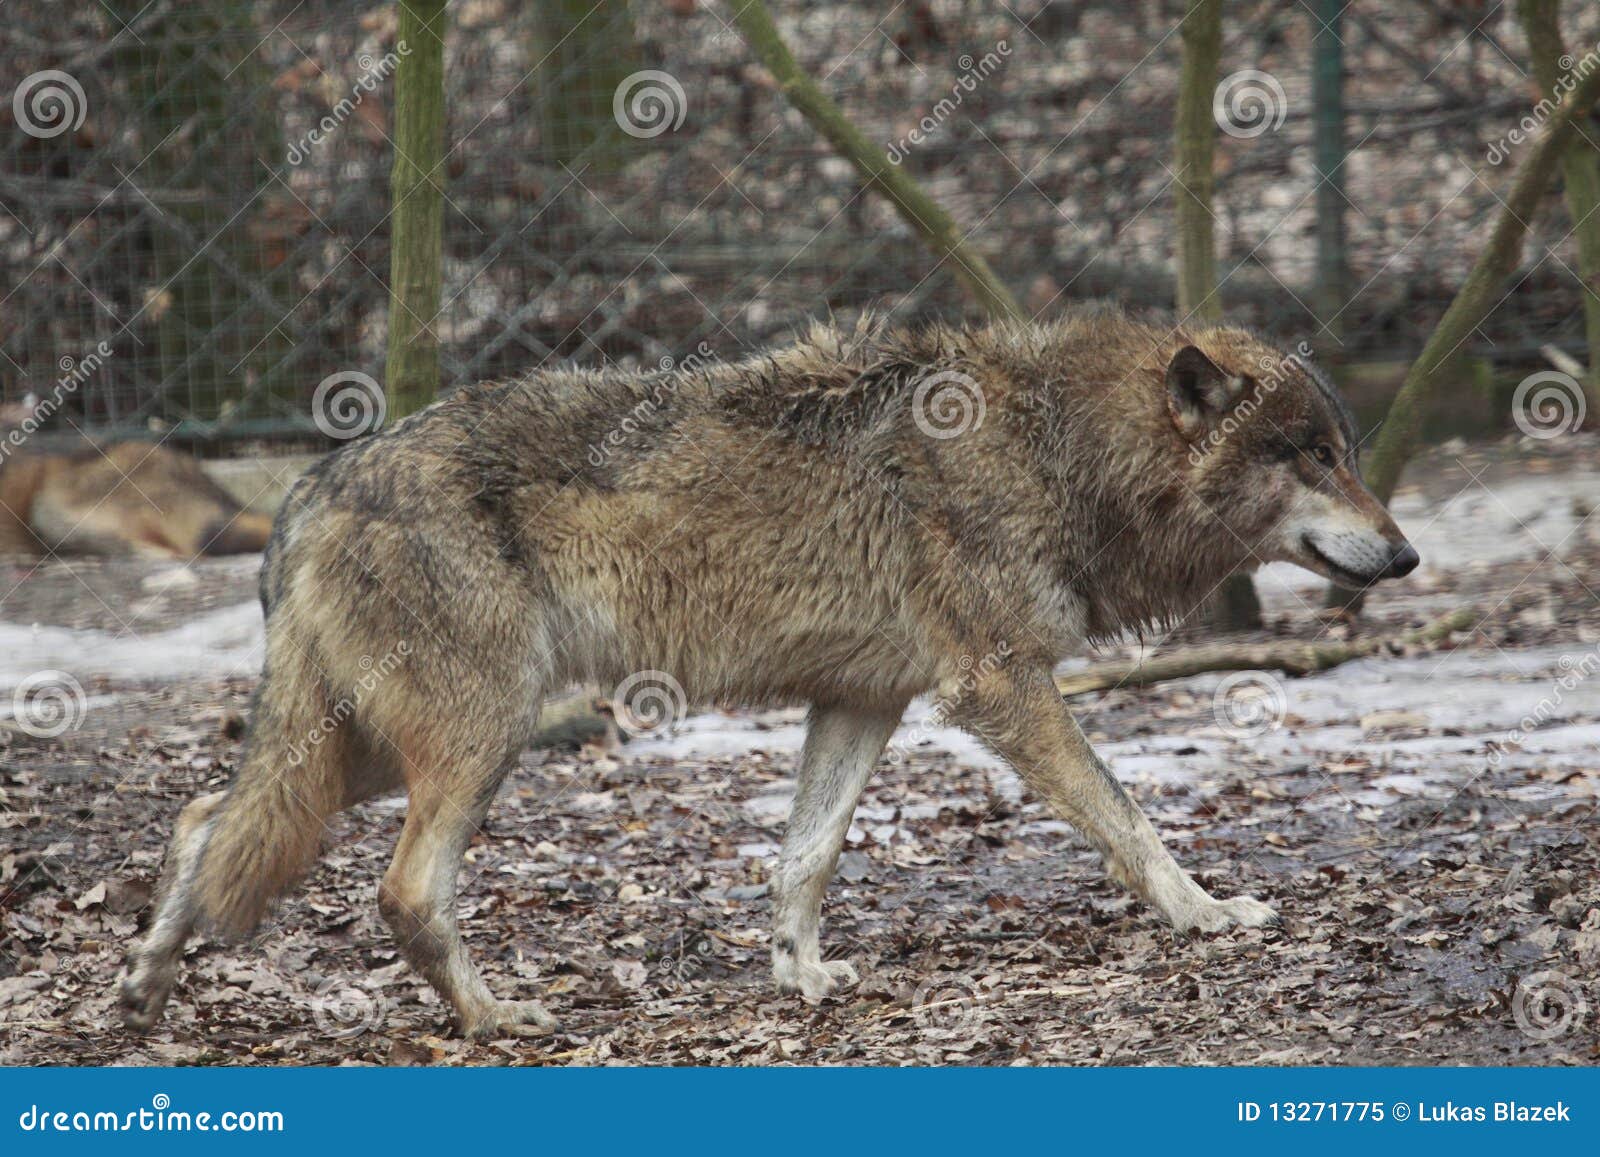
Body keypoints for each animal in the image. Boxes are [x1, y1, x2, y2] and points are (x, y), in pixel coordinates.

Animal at [120, 307, 1417, 1039]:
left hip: (378, 747)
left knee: (202, 818)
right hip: (478, 738)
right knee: (399, 889)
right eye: (1312, 456)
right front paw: (1206, 912)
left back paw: (143, 987)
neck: (1059, 447)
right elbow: (1129, 815)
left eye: (1346, 452)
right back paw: (495, 1018)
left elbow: (806, 854)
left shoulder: (864, 698)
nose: (1405, 554)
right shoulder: (1000, 687)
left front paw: (800, 975)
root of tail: (311, 486)